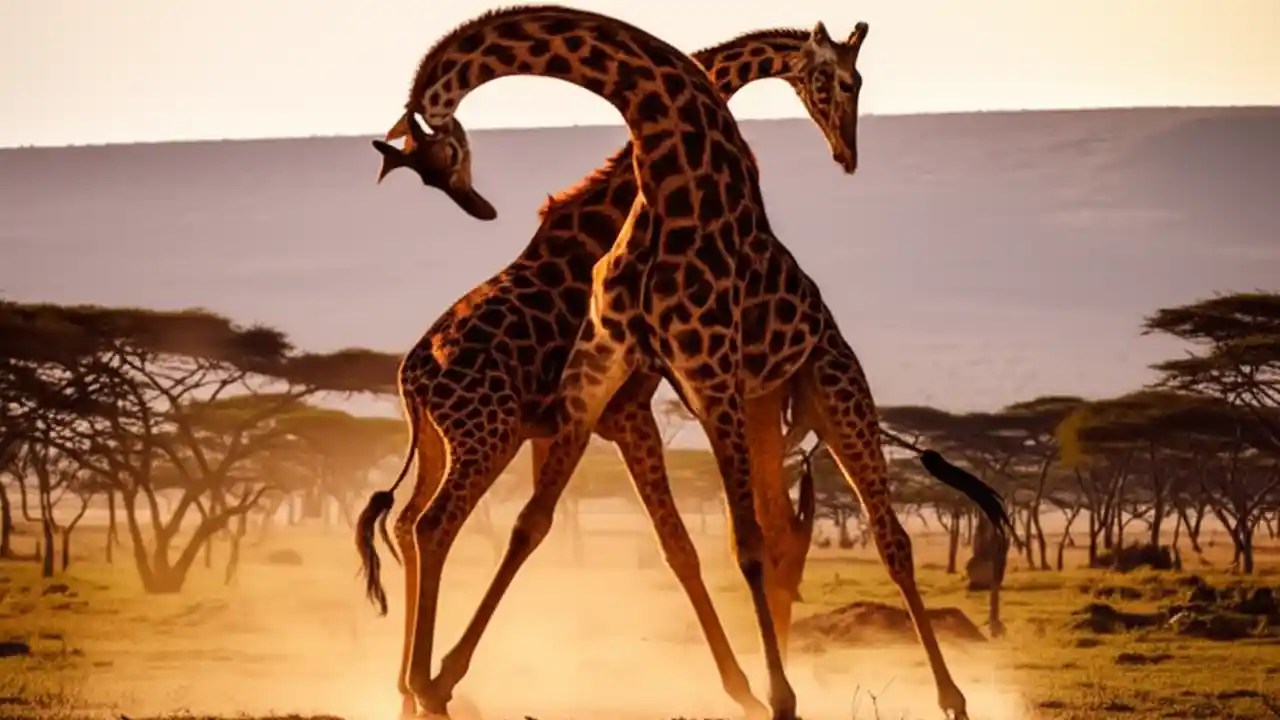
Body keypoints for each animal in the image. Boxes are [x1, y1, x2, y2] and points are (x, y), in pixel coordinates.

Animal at [373, 6, 1010, 720]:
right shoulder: (612, 391)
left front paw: (756, 690)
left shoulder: (640, 397)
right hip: (497, 435)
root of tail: (414, 379)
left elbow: (687, 544)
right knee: (428, 524)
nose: (846, 154)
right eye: (846, 82)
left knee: (873, 535)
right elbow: (566, 528)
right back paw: (417, 687)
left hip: (821, 399)